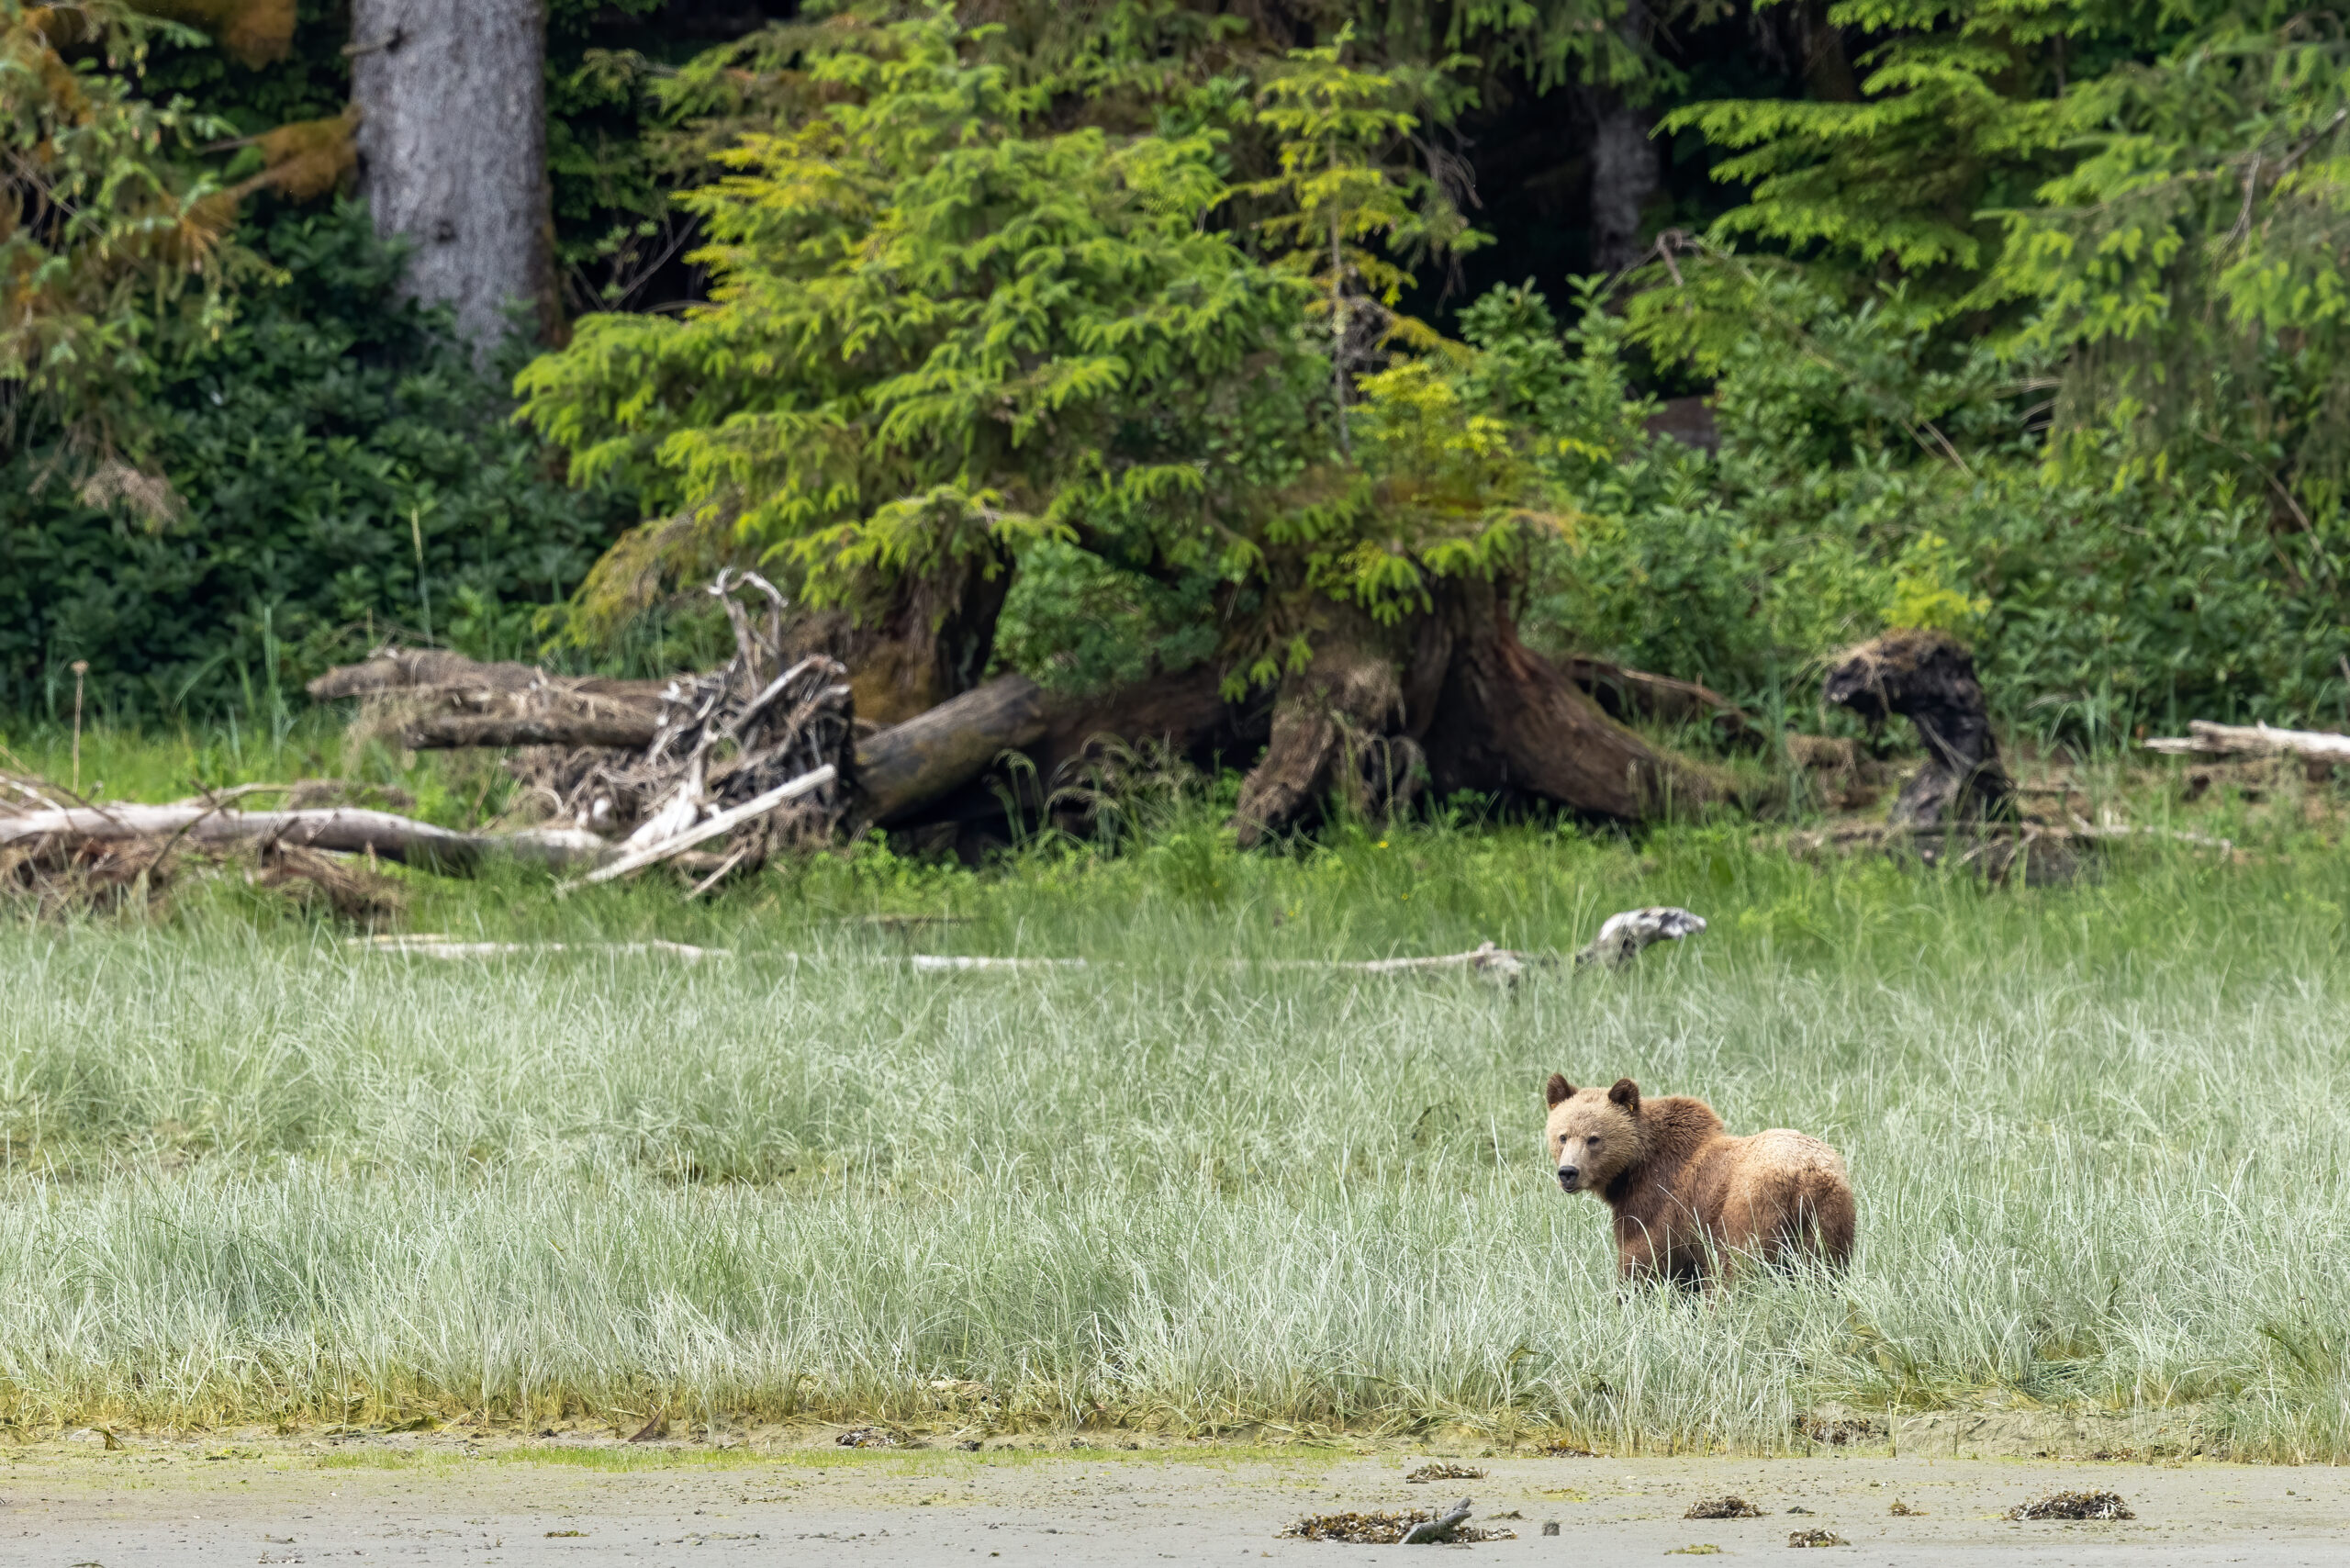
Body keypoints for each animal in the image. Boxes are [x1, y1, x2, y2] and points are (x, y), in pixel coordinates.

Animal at [1541, 1073, 1854, 1285]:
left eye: (1594, 1138)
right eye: (1563, 1136)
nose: (1568, 1172)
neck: (1634, 1169)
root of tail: (1804, 1176)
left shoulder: (1658, 1205)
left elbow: (1642, 1261)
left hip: (1750, 1208)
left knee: (1734, 1272)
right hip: (1829, 1219)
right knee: (1826, 1271)